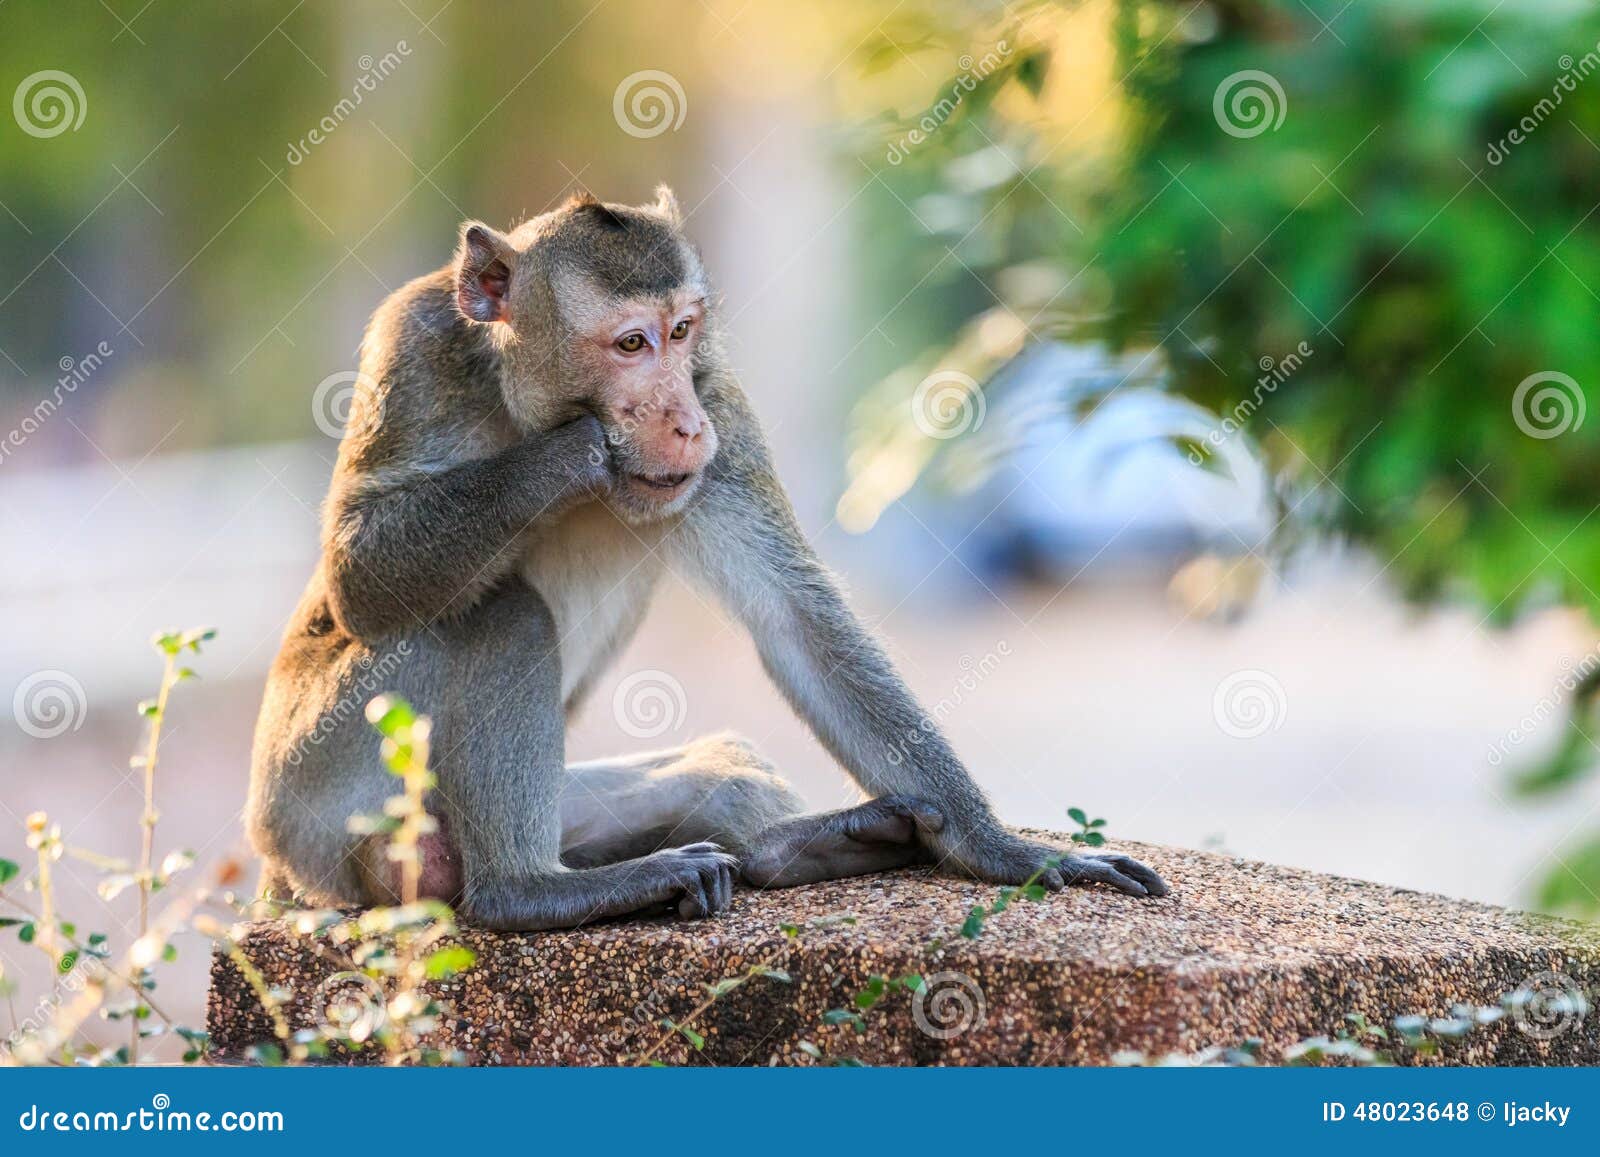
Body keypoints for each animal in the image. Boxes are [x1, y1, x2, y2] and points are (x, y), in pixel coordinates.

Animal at [245, 187, 1167, 930]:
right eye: (631, 344)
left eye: (683, 331)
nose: (684, 423)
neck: (519, 396)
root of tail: (278, 863)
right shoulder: (415, 346)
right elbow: (357, 572)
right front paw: (574, 455)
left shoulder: (723, 400)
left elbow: (794, 615)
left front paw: (999, 846)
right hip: (323, 798)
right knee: (502, 613)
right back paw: (531, 891)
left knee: (723, 770)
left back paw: (798, 847)